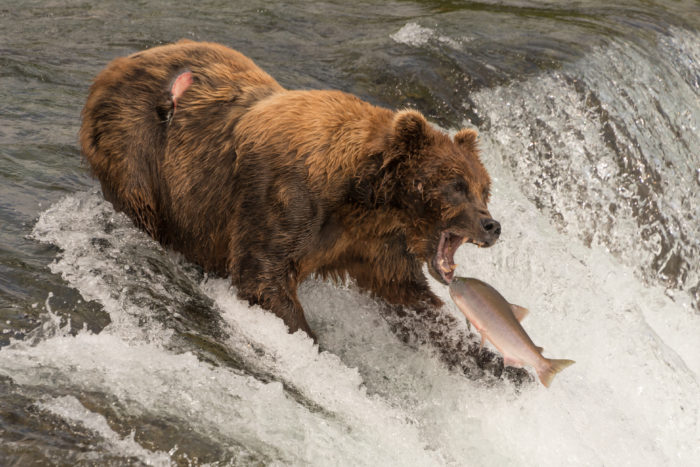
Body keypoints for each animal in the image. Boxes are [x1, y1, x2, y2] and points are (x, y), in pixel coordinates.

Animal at [79, 39, 501, 345]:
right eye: (456, 186)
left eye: (484, 188)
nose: (492, 225)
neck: (364, 195)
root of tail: (114, 65)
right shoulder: (286, 198)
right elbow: (263, 276)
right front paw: (312, 341)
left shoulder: (372, 242)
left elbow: (407, 293)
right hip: (136, 149)